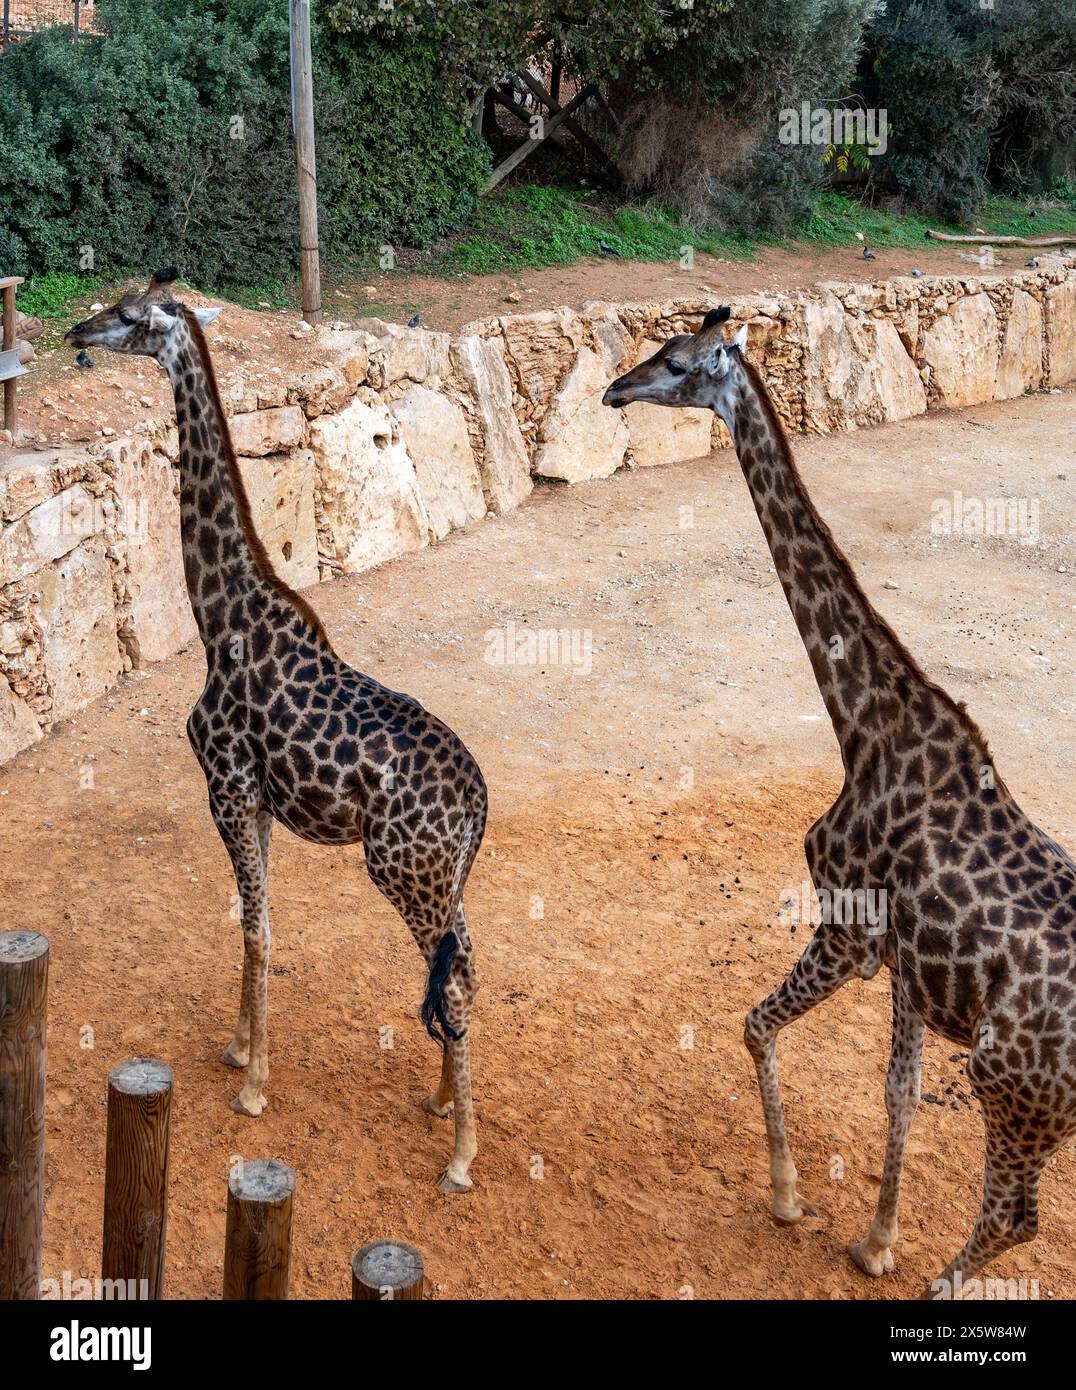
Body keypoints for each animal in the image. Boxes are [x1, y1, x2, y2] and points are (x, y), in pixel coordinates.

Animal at [65, 269, 486, 1193]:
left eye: (128, 315)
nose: (76, 330)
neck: (219, 616)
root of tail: (481, 802)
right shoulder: (254, 801)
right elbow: (254, 932)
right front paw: (237, 1050)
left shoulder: (225, 786)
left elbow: (259, 930)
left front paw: (254, 1088)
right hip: (439, 875)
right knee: (462, 965)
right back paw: (442, 1102)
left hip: (400, 868)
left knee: (456, 977)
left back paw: (461, 1158)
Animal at [603, 307, 1076, 1296]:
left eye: (678, 363)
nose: (613, 390)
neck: (864, 723)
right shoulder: (905, 965)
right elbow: (899, 1095)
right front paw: (877, 1240)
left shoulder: (849, 931)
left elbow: (751, 1026)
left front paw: (788, 1197)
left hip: (1012, 1081)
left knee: (1015, 1216)